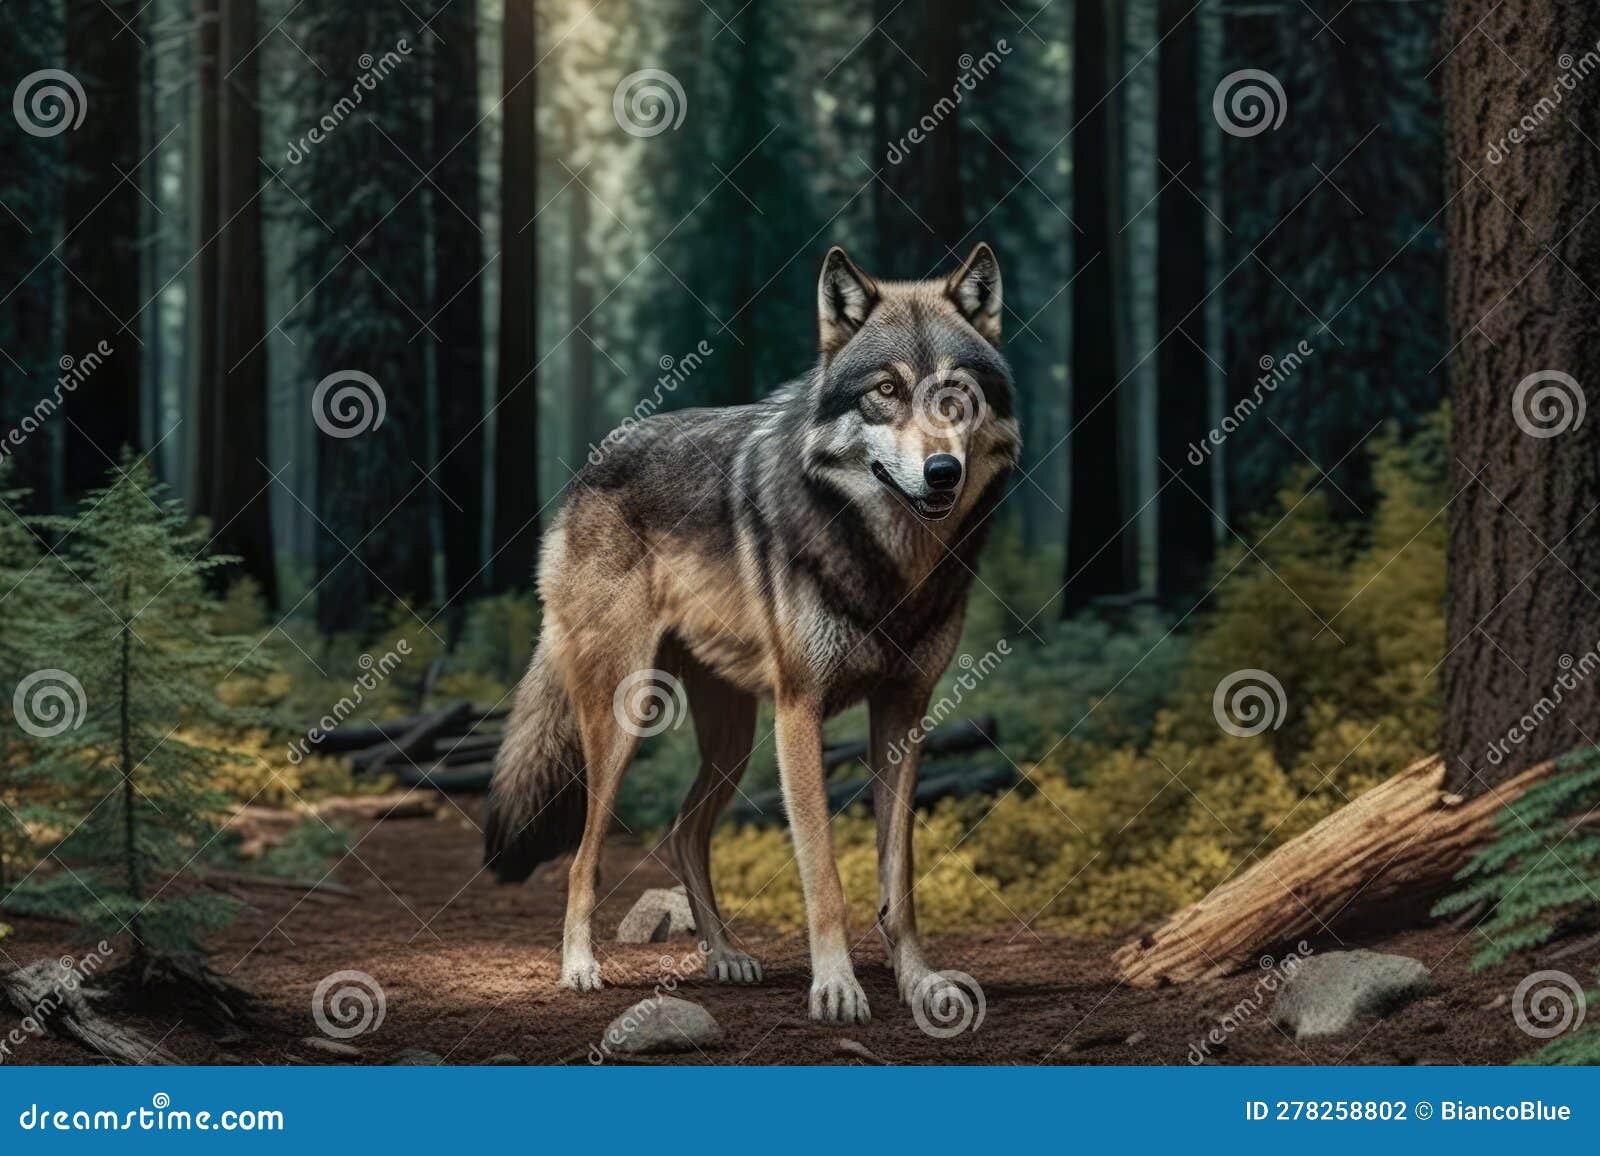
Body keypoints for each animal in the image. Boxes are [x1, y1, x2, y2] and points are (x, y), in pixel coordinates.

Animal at [484, 242, 1020, 1023]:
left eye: (957, 395)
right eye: (886, 392)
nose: (942, 471)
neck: (889, 566)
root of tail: (590, 465)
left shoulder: (905, 713)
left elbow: (899, 881)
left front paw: (918, 983)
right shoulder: (800, 713)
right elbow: (823, 877)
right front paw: (837, 987)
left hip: (732, 738)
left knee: (683, 834)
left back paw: (726, 956)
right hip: (625, 719)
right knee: (584, 855)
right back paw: (580, 965)